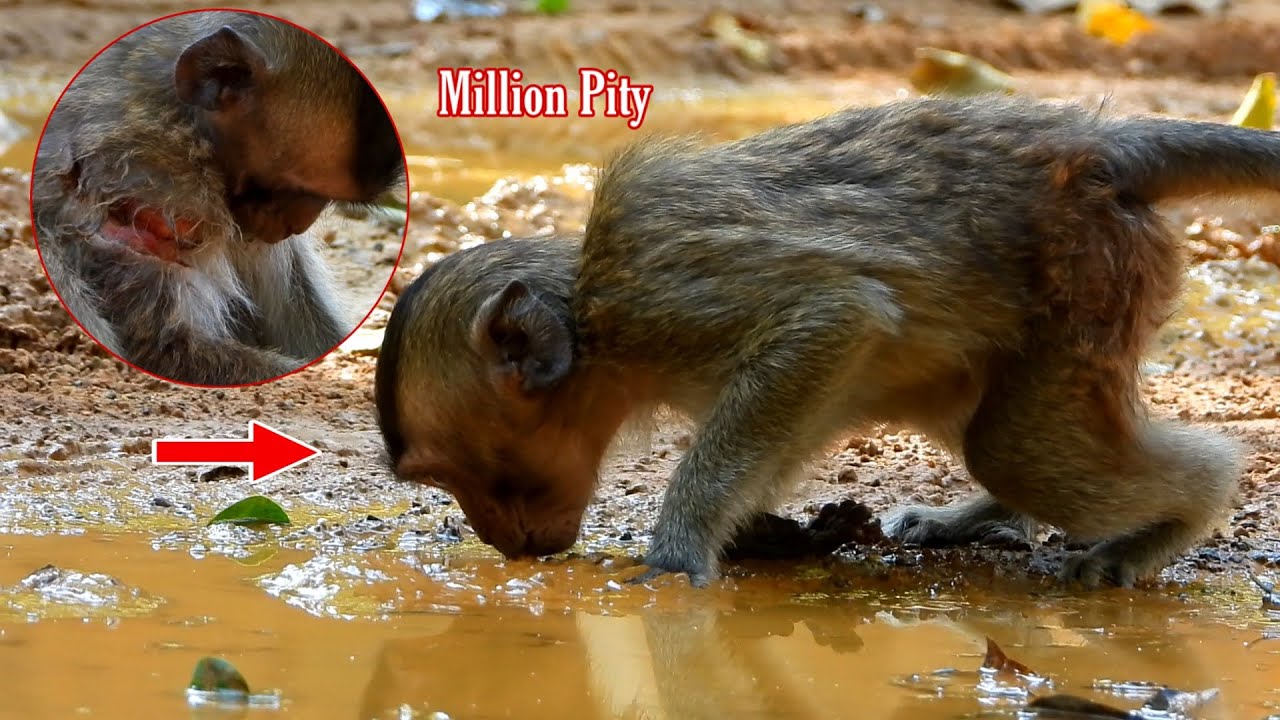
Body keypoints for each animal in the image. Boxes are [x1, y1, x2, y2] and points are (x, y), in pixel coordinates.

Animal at [375, 93, 1271, 589]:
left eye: (466, 475)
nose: (500, 543)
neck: (594, 319)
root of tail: (1092, 145)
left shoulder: (656, 295)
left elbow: (837, 312)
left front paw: (679, 550)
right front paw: (761, 533)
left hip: (1091, 273)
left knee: (1016, 445)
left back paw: (1181, 515)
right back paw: (987, 515)